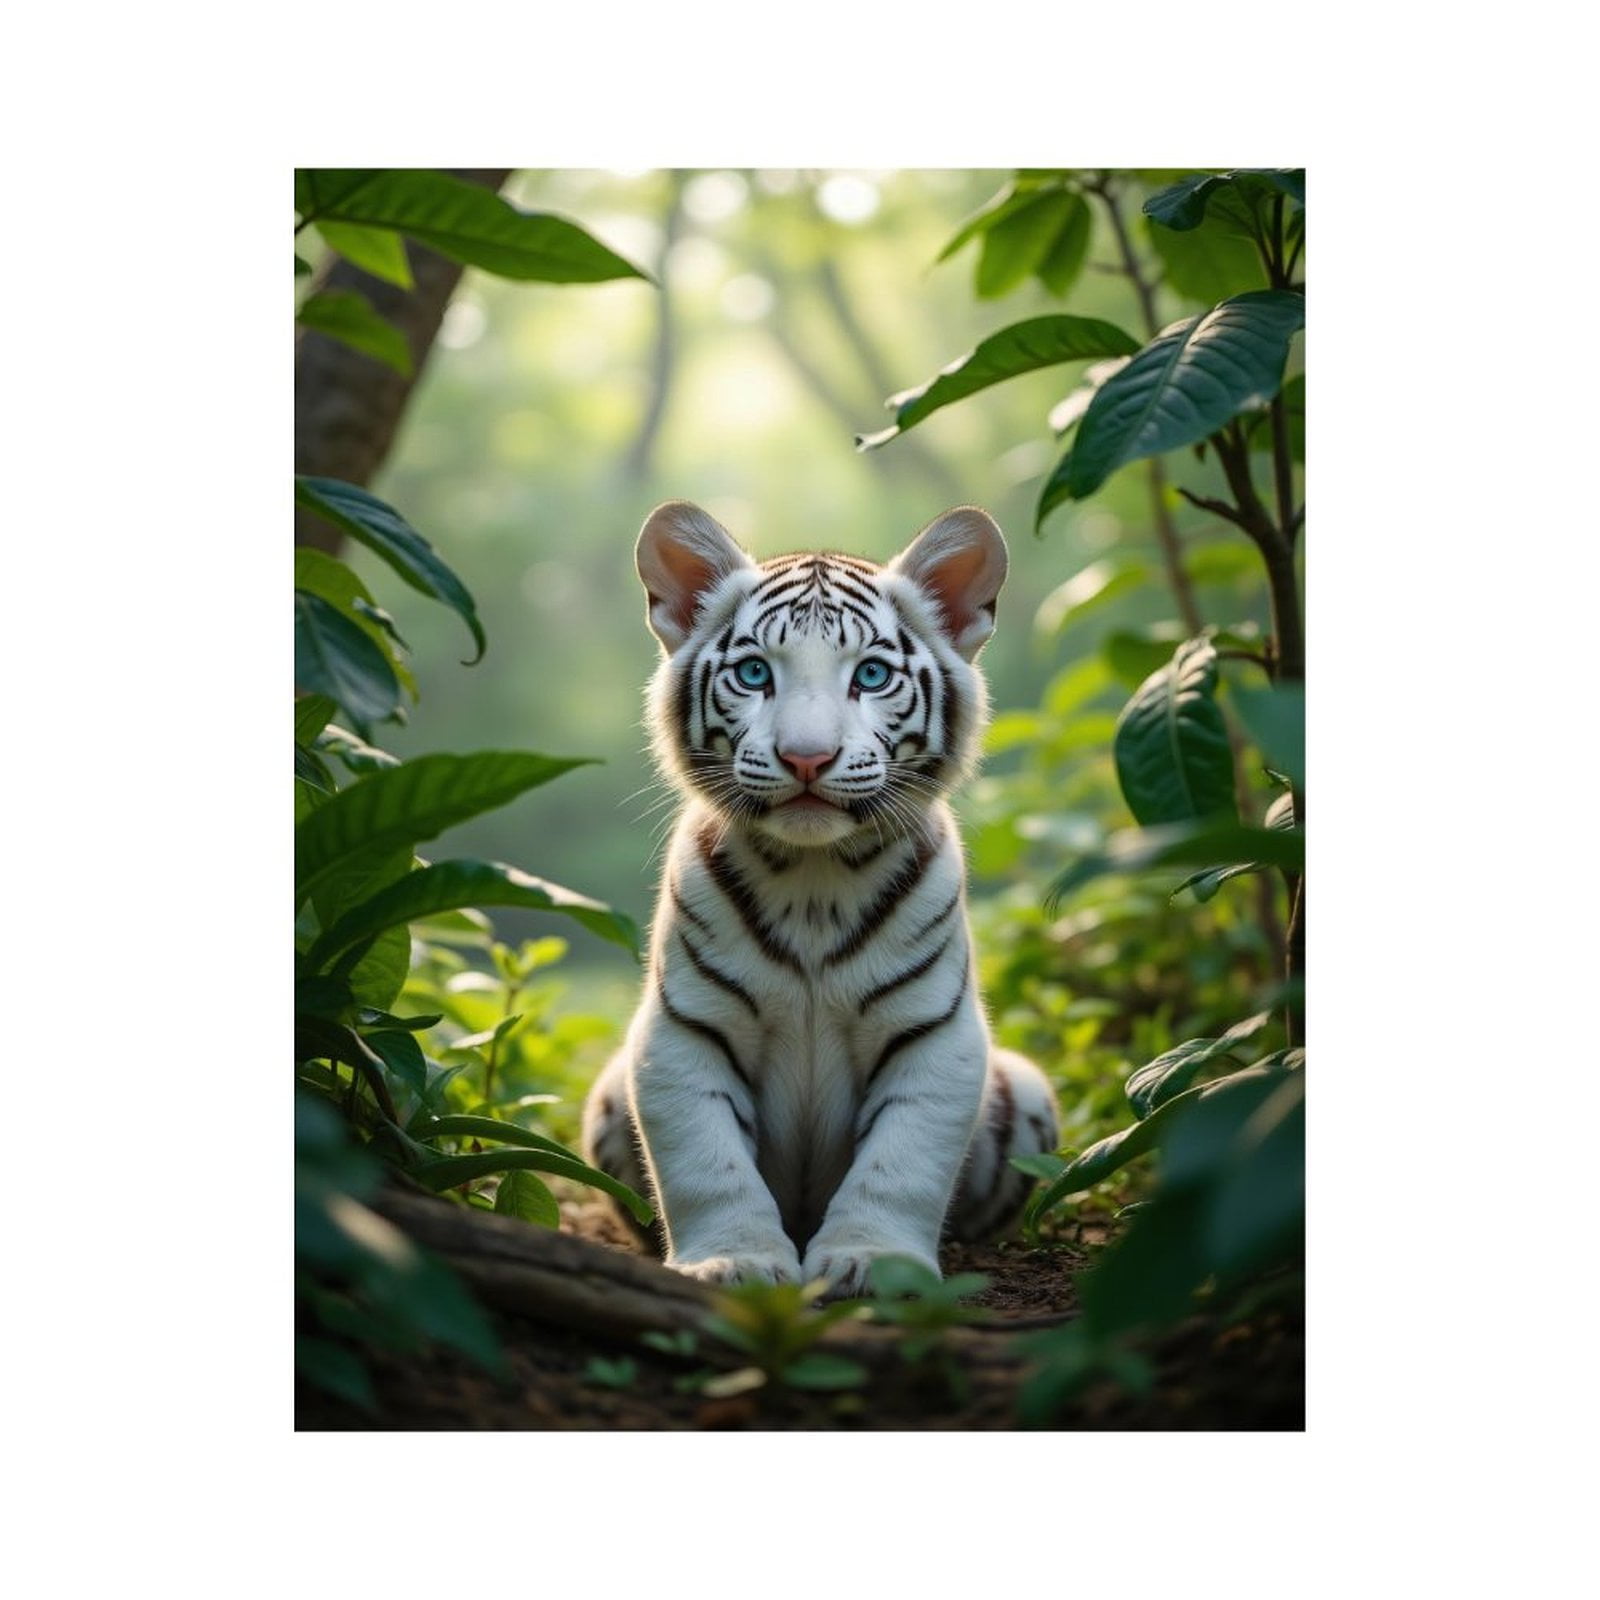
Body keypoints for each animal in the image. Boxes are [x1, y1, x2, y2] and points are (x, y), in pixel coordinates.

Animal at [581, 500, 1059, 1297]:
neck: (814, 880)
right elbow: (707, 1163)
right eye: (753, 673)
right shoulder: (684, 1032)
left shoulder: (935, 1033)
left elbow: (901, 1163)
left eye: (871, 674)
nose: (807, 758)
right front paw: (736, 1262)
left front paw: (874, 1262)